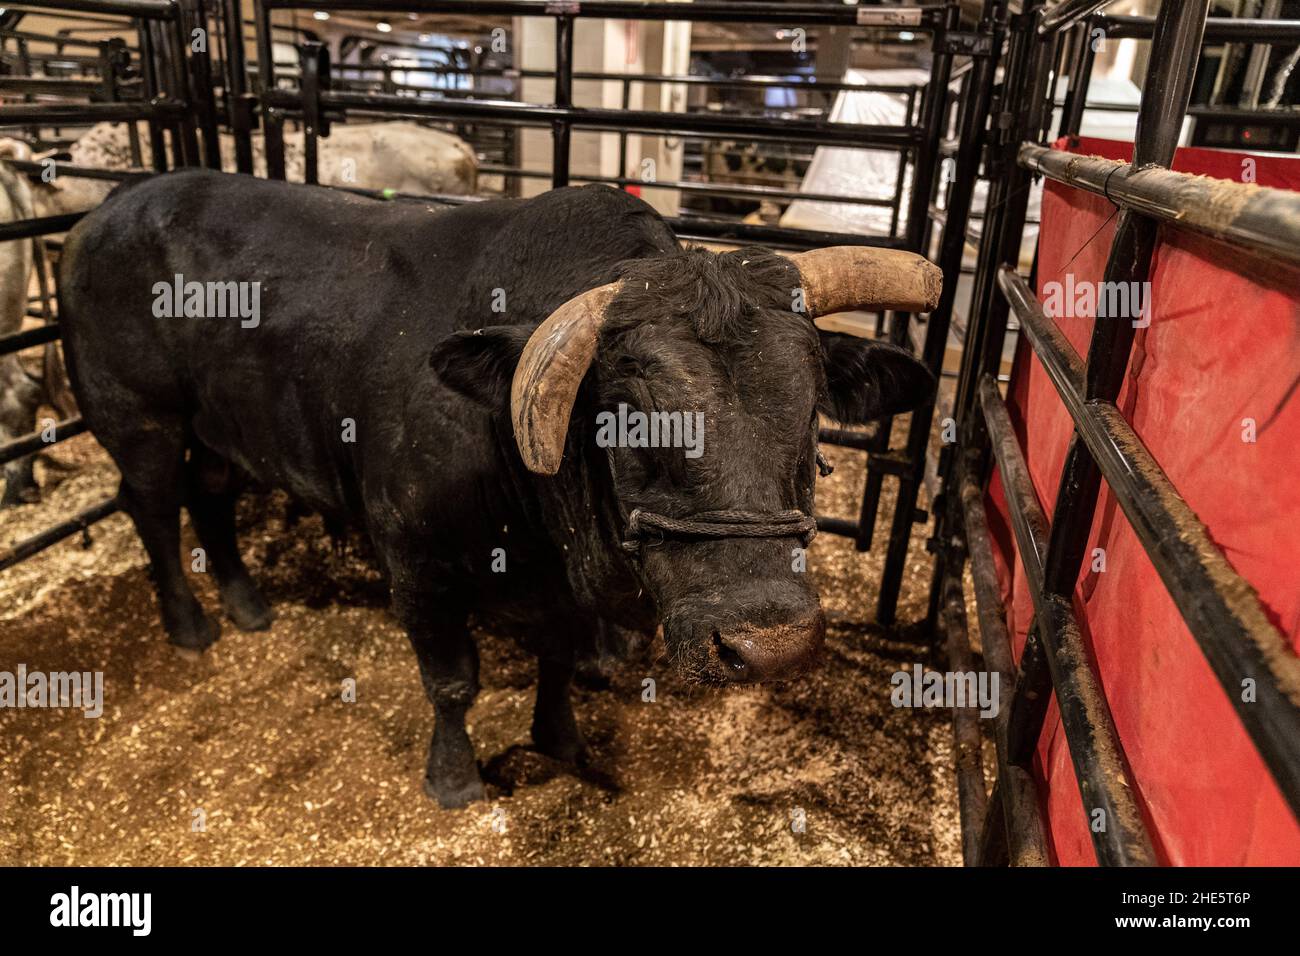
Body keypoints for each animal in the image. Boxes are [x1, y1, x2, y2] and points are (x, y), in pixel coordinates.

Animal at [57, 170, 939, 807]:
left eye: (812, 409)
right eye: (629, 416)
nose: (769, 645)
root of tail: (112, 208)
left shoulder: (559, 584)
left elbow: (557, 657)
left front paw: (561, 739)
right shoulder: (415, 564)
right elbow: (451, 681)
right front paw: (454, 779)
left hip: (219, 429)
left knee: (208, 497)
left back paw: (246, 604)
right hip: (137, 419)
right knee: (151, 508)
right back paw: (190, 623)